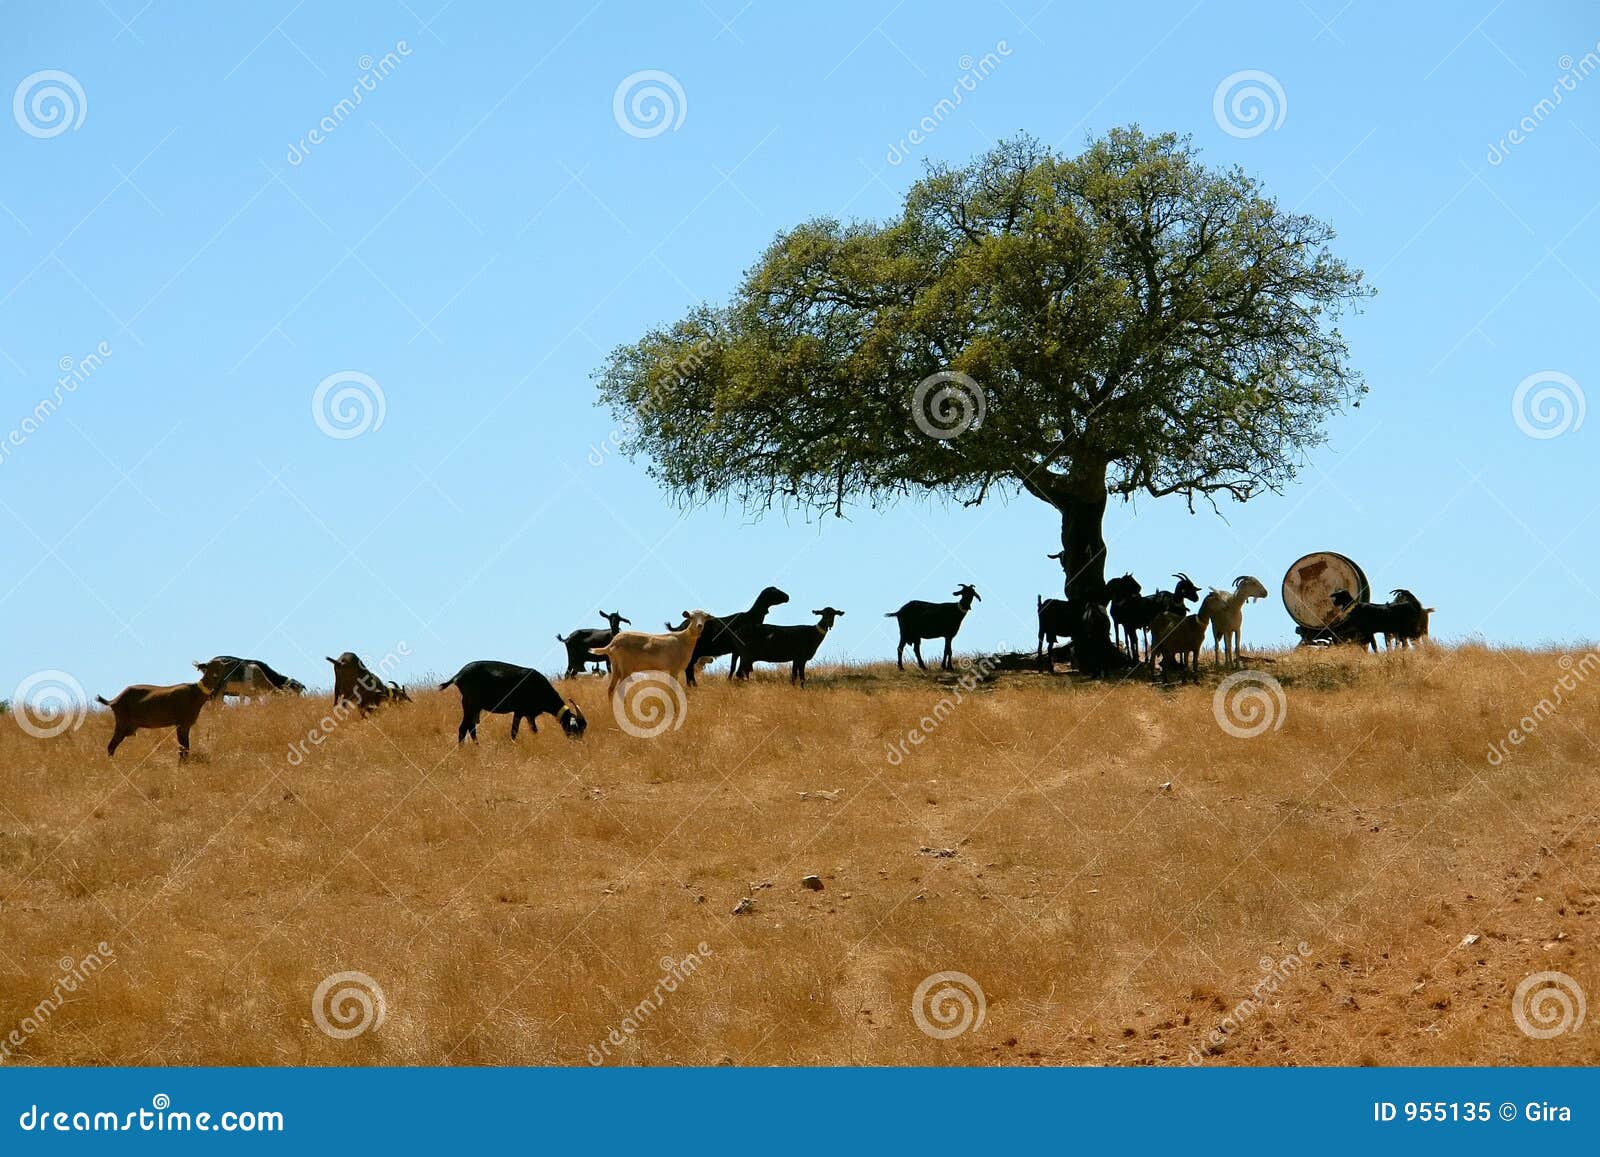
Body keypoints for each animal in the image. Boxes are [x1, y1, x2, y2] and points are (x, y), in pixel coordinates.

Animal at [96, 672, 227, 761]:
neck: (195, 693)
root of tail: (114, 701)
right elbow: (184, 747)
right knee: (111, 746)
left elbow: (185, 747)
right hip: (122, 725)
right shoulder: (182, 725)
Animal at [440, 661, 586, 743]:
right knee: (463, 728)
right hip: (470, 704)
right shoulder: (519, 712)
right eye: (576, 729)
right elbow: (514, 732)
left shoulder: (530, 715)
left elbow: (534, 730)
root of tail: (458, 675)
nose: (578, 743)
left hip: (475, 707)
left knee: (471, 727)